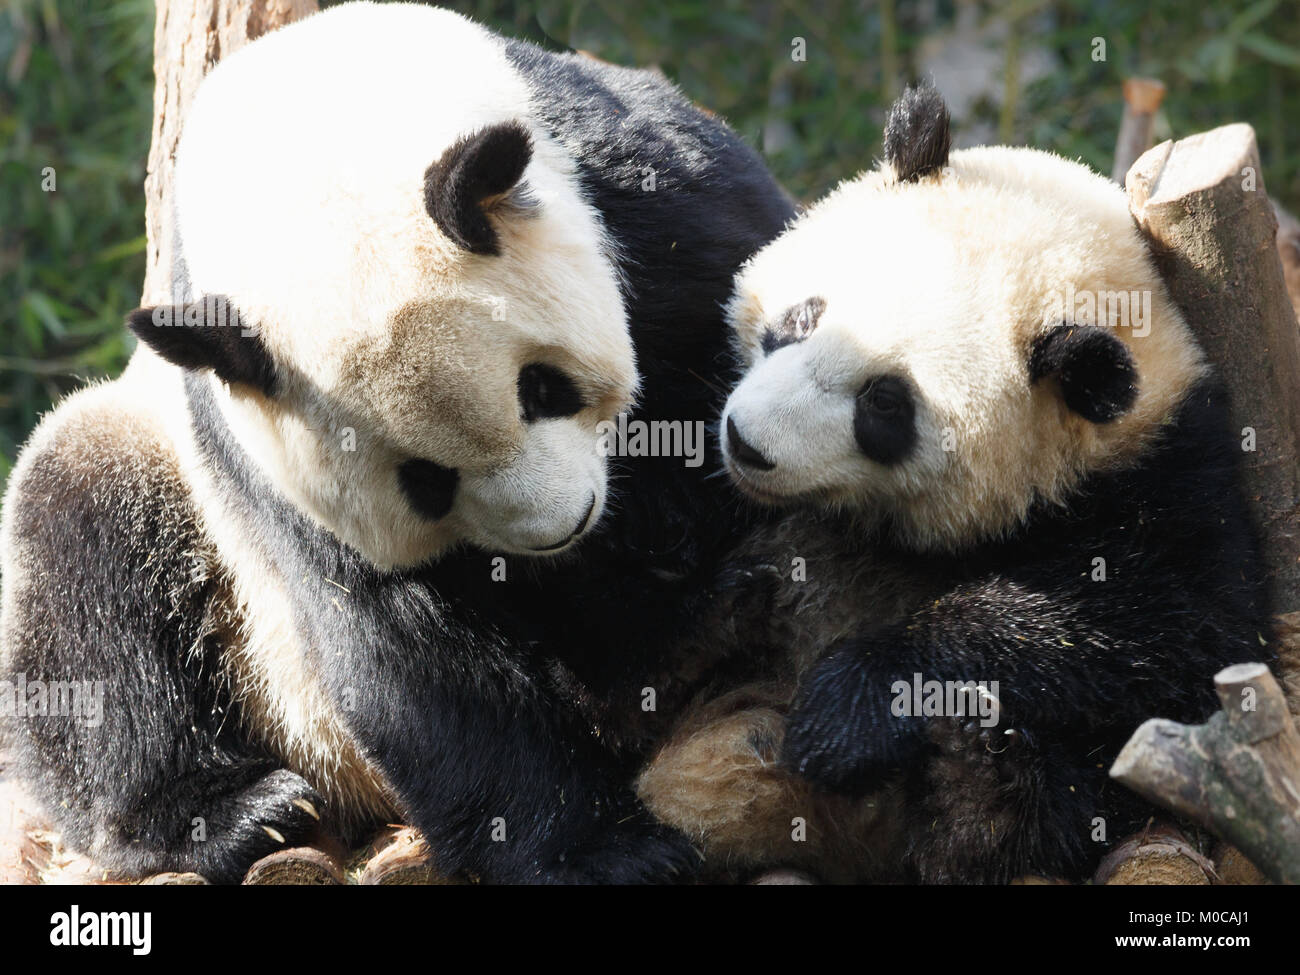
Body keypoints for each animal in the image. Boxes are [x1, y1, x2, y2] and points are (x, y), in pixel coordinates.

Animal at [0, 2, 793, 883]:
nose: (563, 525)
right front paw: (611, 852)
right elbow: (404, 649)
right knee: (86, 582)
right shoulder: (257, 447)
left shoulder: (648, 193)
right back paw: (236, 813)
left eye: (542, 387)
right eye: (426, 481)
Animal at [636, 85, 1273, 883]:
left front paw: (845, 713)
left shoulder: (1172, 477)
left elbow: (1169, 637)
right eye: (803, 317)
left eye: (884, 405)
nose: (747, 443)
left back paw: (978, 772)